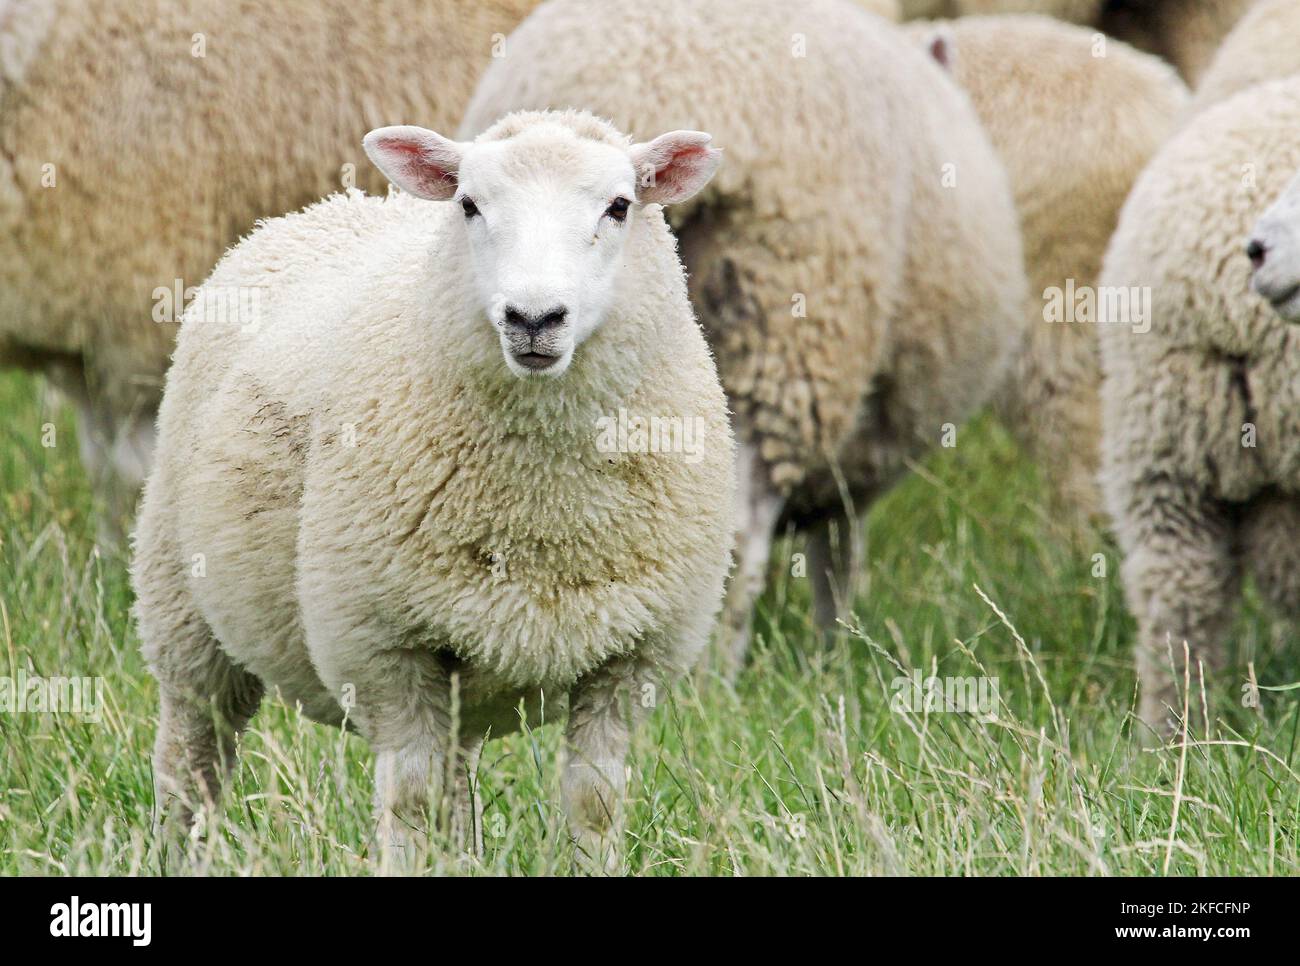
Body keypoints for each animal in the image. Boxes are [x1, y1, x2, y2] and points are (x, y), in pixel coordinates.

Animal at [131, 110, 735, 871]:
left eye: (620, 206)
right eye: (469, 204)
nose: (533, 319)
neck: (545, 508)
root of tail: (328, 207)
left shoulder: (634, 656)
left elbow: (594, 805)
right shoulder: (386, 645)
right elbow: (409, 803)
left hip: (468, 665)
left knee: (457, 783)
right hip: (181, 610)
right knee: (192, 761)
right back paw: (177, 849)